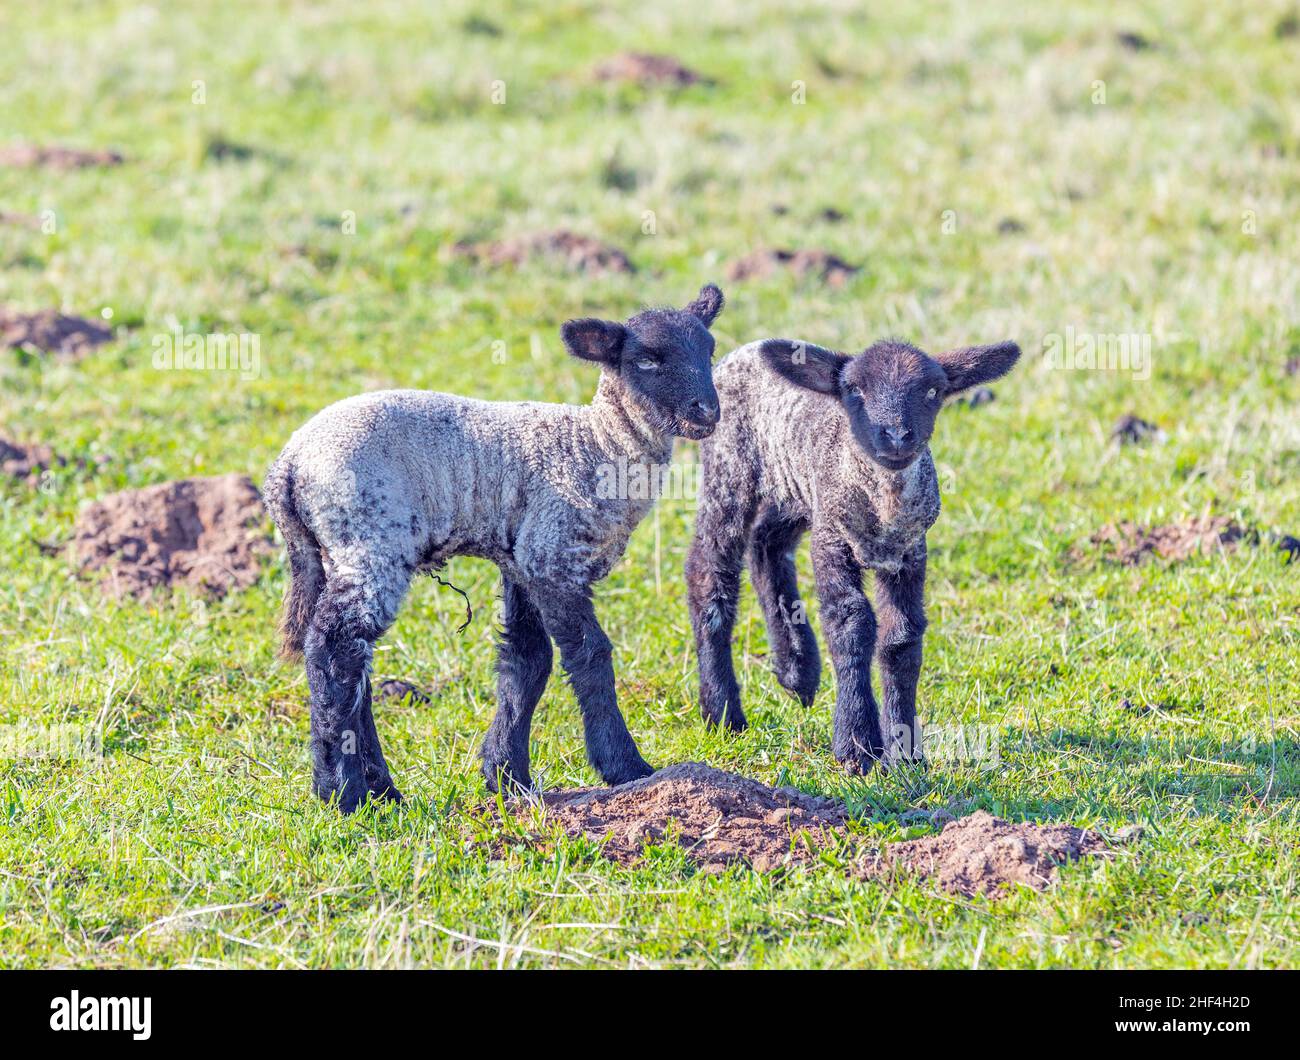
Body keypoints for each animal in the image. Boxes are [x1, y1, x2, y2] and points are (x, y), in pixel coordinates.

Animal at [264, 284, 726, 812]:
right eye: (647, 359)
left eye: (709, 351)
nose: (708, 412)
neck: (598, 443)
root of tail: (287, 467)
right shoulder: (552, 551)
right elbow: (590, 654)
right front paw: (625, 767)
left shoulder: (521, 557)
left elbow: (527, 662)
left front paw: (507, 776)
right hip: (370, 539)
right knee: (334, 648)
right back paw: (342, 793)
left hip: (334, 551)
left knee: (353, 659)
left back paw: (383, 790)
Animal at [685, 334, 1020, 772]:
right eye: (854, 390)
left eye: (933, 390)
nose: (895, 435)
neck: (883, 503)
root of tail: (740, 352)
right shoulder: (831, 541)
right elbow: (851, 623)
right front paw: (856, 746)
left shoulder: (910, 552)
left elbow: (902, 639)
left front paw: (906, 752)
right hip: (730, 471)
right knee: (708, 571)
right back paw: (723, 713)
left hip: (793, 487)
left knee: (766, 543)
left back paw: (797, 671)